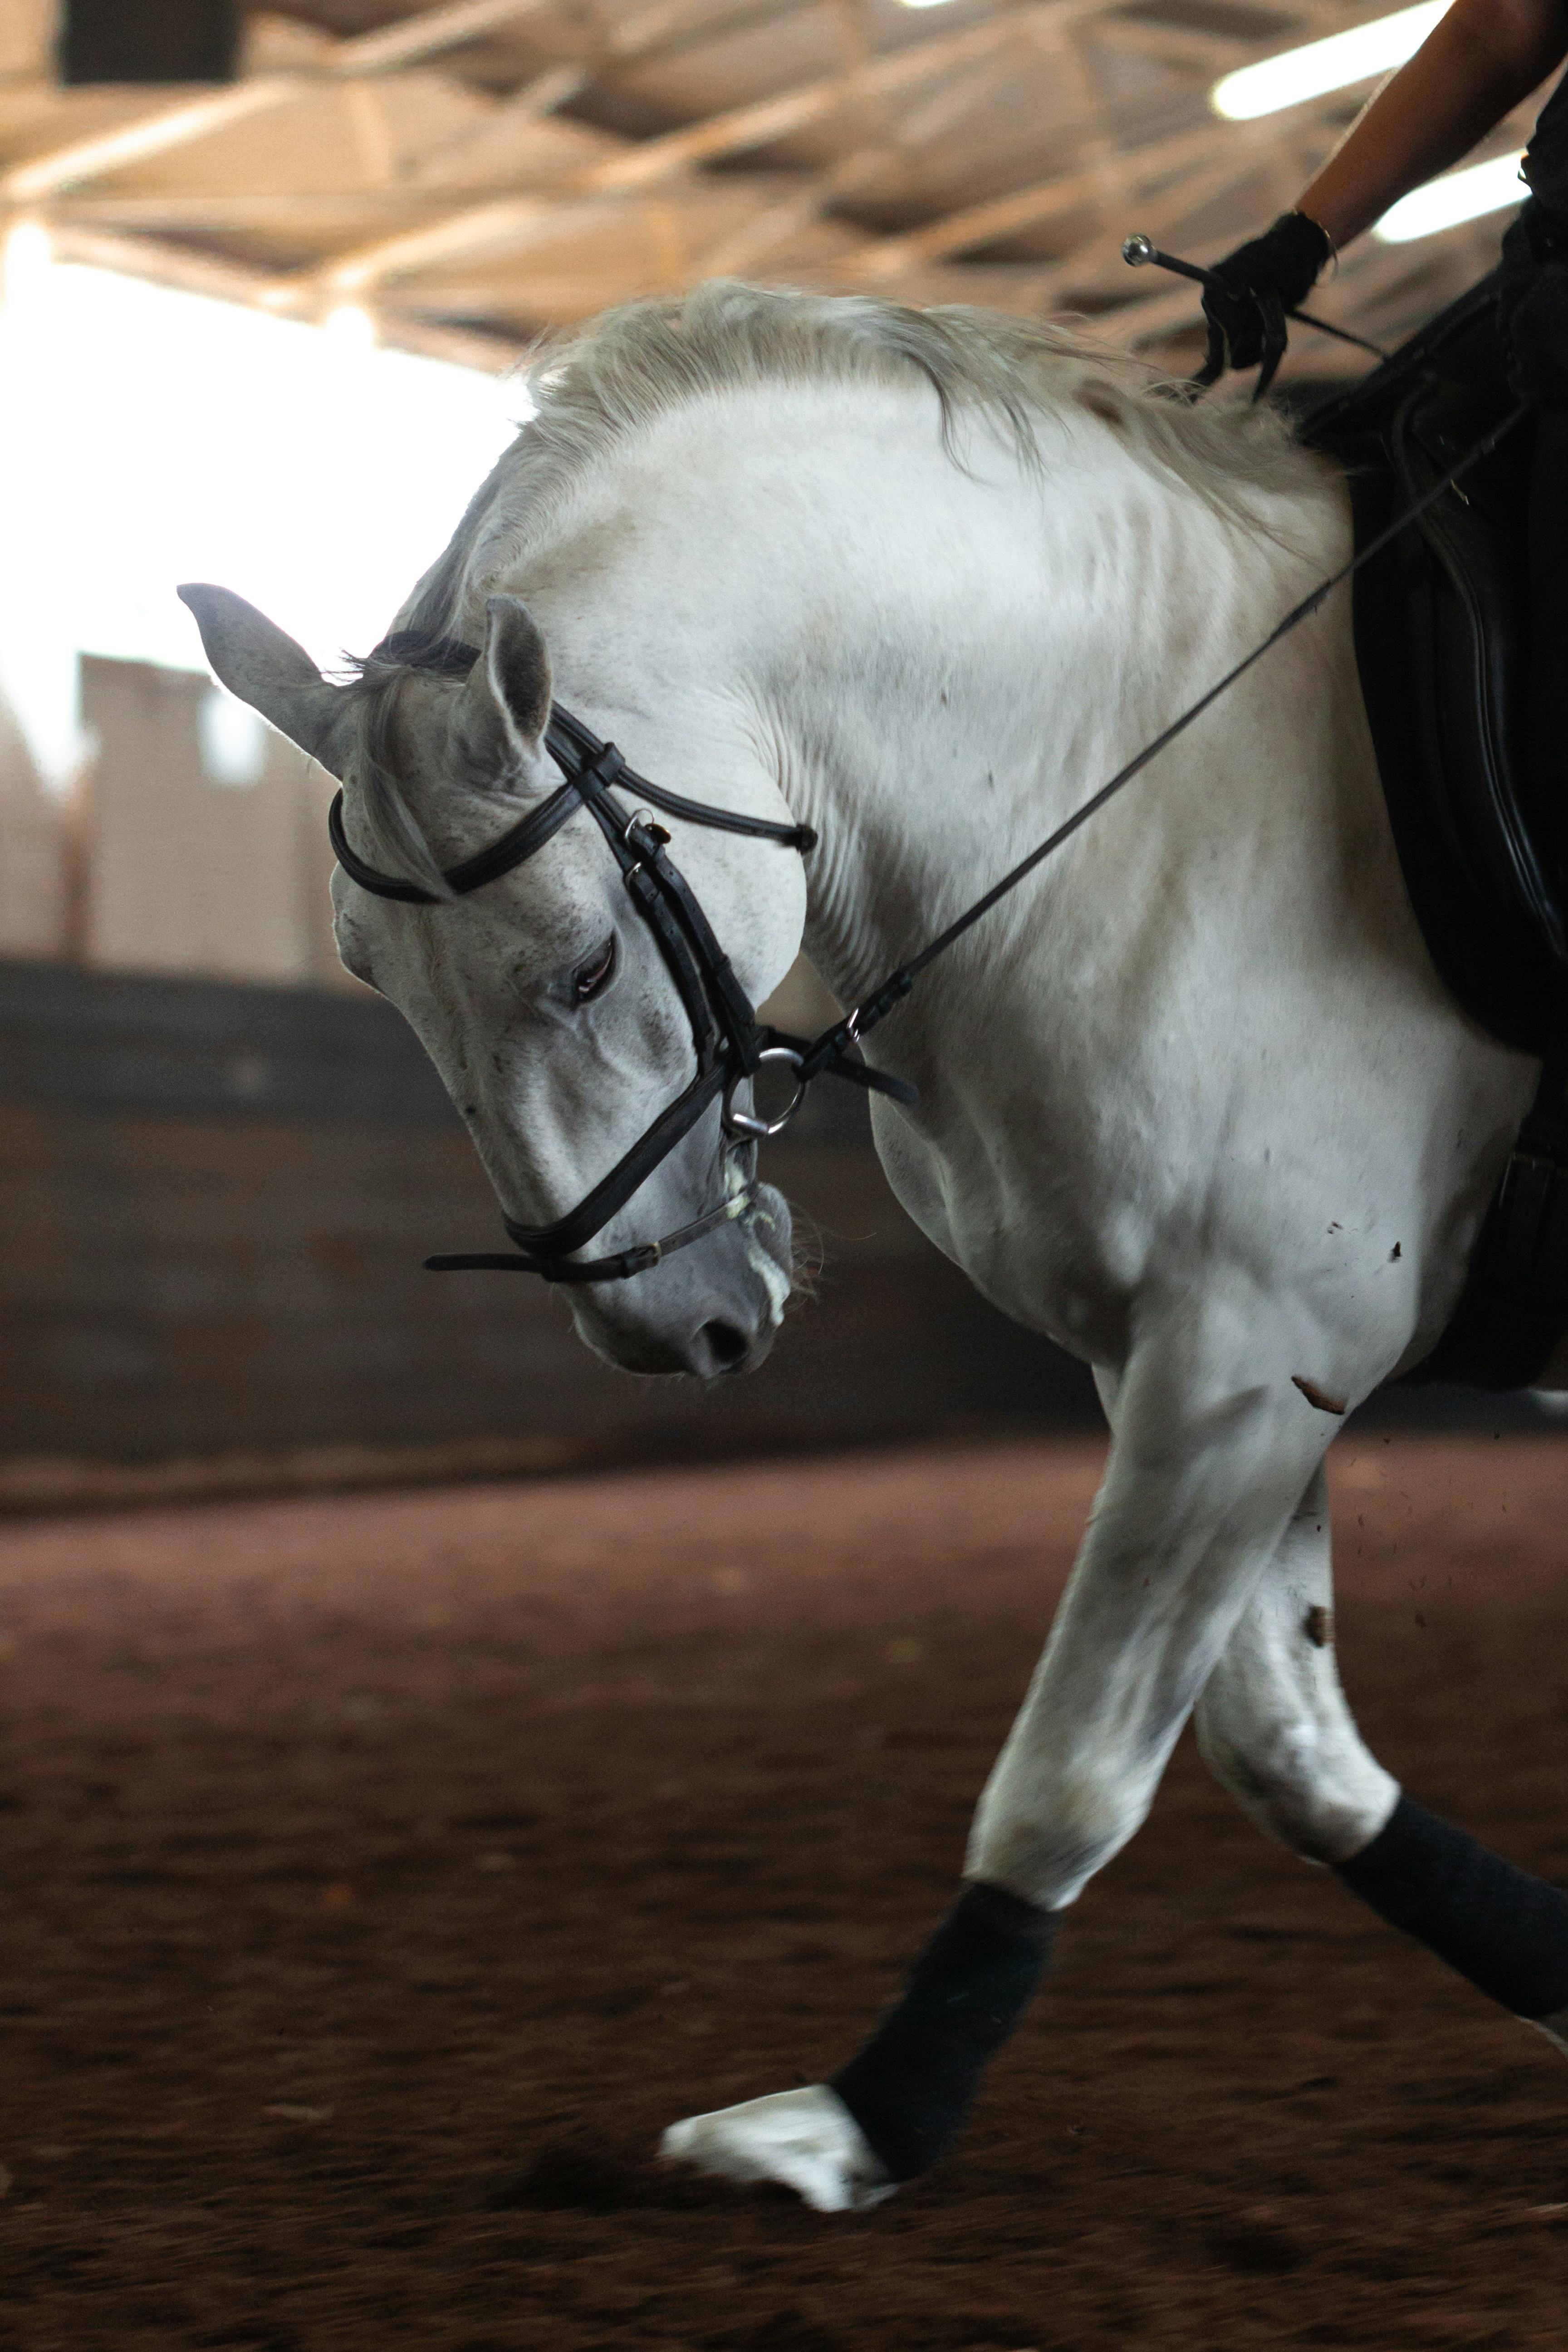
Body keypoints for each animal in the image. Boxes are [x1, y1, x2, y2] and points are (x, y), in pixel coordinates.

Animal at [180, 279, 1568, 2215]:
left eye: (586, 963)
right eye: (370, 978)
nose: (668, 1326)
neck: (1157, 787)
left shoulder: (1238, 1354)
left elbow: (1071, 1775)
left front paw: (856, 2122)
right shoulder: (1216, 1364)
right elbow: (1289, 1753)